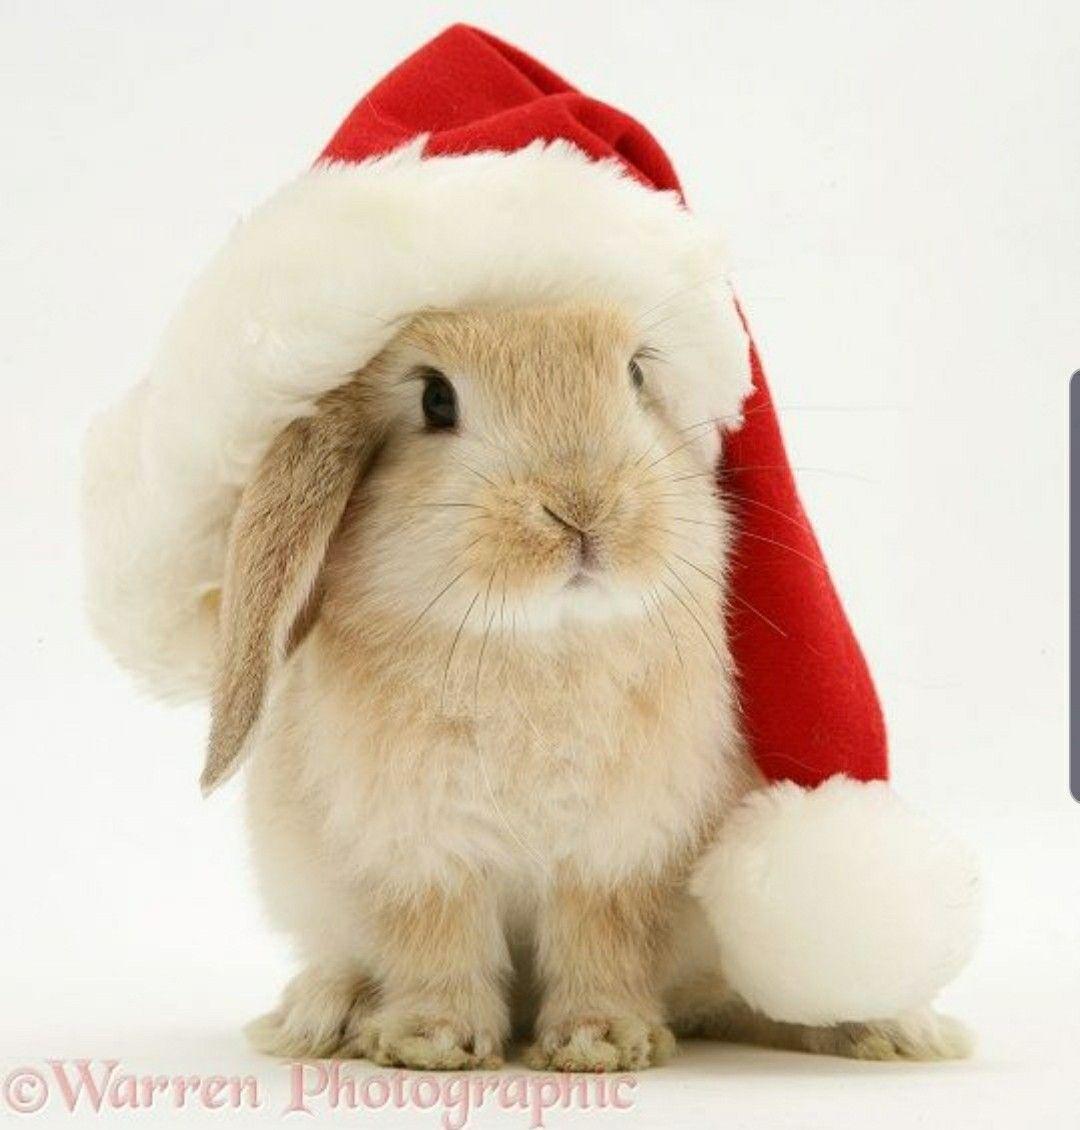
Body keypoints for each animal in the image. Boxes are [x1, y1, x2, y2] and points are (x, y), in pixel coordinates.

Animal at [208, 302, 970, 1070]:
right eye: (435, 399)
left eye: (635, 374)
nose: (580, 506)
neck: (538, 641)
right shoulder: (422, 848)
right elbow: (438, 943)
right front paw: (433, 1039)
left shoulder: (618, 852)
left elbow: (602, 941)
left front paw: (600, 1039)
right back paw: (324, 1013)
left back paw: (895, 1031)